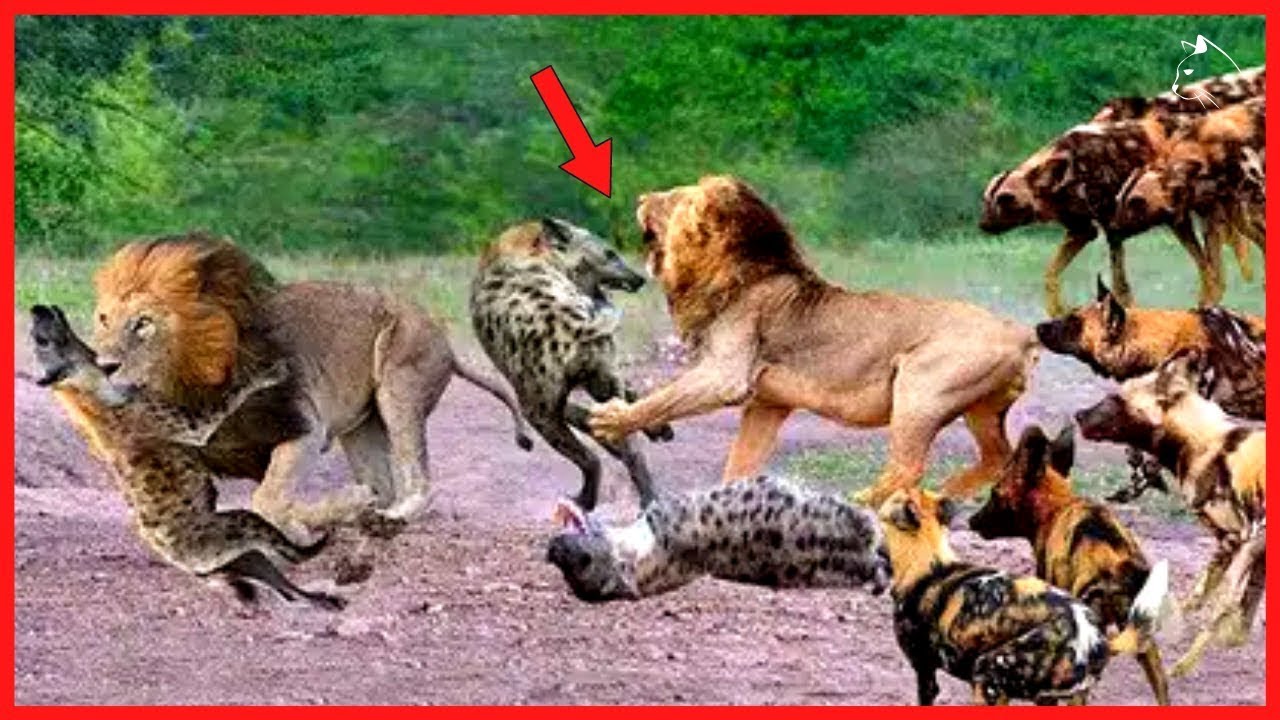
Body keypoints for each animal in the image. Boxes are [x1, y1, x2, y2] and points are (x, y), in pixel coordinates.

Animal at [91, 231, 533, 529]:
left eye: (143, 324)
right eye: (104, 319)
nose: (103, 363)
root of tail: (447, 342)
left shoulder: (305, 430)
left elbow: (268, 498)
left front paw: (313, 518)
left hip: (401, 379)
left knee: (419, 481)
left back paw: (388, 515)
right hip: (361, 426)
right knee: (383, 481)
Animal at [588, 176, 1040, 507]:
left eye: (672, 198)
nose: (642, 196)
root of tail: (1021, 331)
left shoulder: (725, 375)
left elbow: (661, 400)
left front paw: (610, 420)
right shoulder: (767, 404)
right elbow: (740, 463)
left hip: (920, 388)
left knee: (907, 469)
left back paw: (865, 500)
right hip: (979, 408)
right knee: (997, 459)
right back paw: (945, 494)